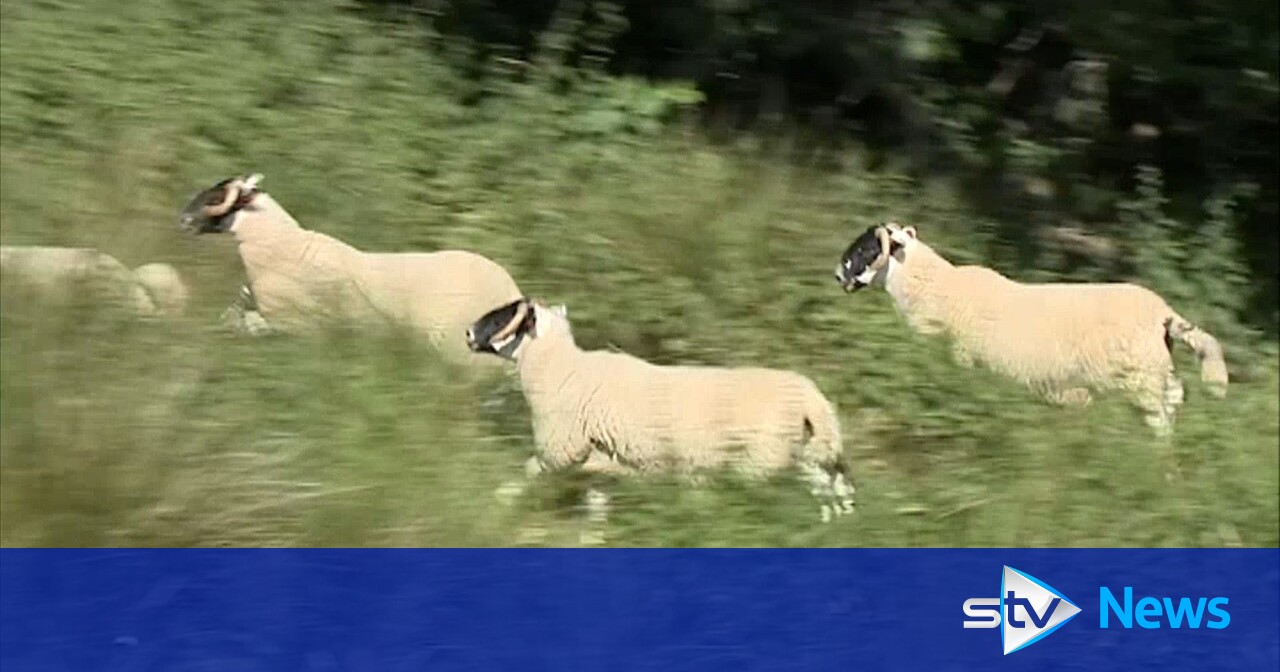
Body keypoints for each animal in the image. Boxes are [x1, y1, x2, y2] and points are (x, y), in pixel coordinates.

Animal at [465, 297, 857, 539]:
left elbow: (524, 474)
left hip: (761, 464)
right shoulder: (602, 467)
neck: (562, 368)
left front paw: (496, 504)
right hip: (803, 457)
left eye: (502, 316)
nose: (468, 333)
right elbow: (595, 513)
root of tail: (812, 400)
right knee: (832, 494)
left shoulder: (561, 450)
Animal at [833, 221, 1228, 435]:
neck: (939, 290)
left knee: (1160, 424)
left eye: (868, 248)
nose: (837, 275)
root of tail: (1163, 313)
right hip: (1155, 376)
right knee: (1173, 404)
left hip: (1141, 381)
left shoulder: (963, 360)